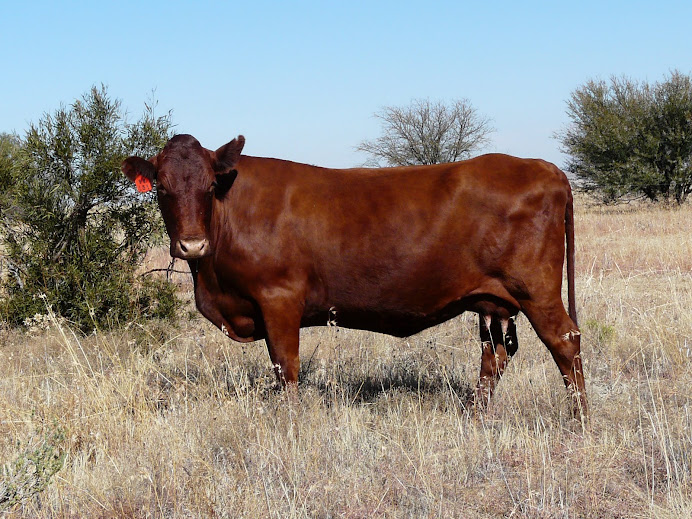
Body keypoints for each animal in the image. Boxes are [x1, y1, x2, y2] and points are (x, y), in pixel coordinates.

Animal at [122, 134, 587, 417]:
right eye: (162, 187)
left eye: (209, 187)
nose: (191, 246)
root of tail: (546, 167)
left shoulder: (279, 299)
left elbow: (285, 367)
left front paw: (289, 422)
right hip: (494, 303)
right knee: (495, 357)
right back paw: (475, 415)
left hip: (537, 292)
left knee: (565, 341)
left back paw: (579, 419)